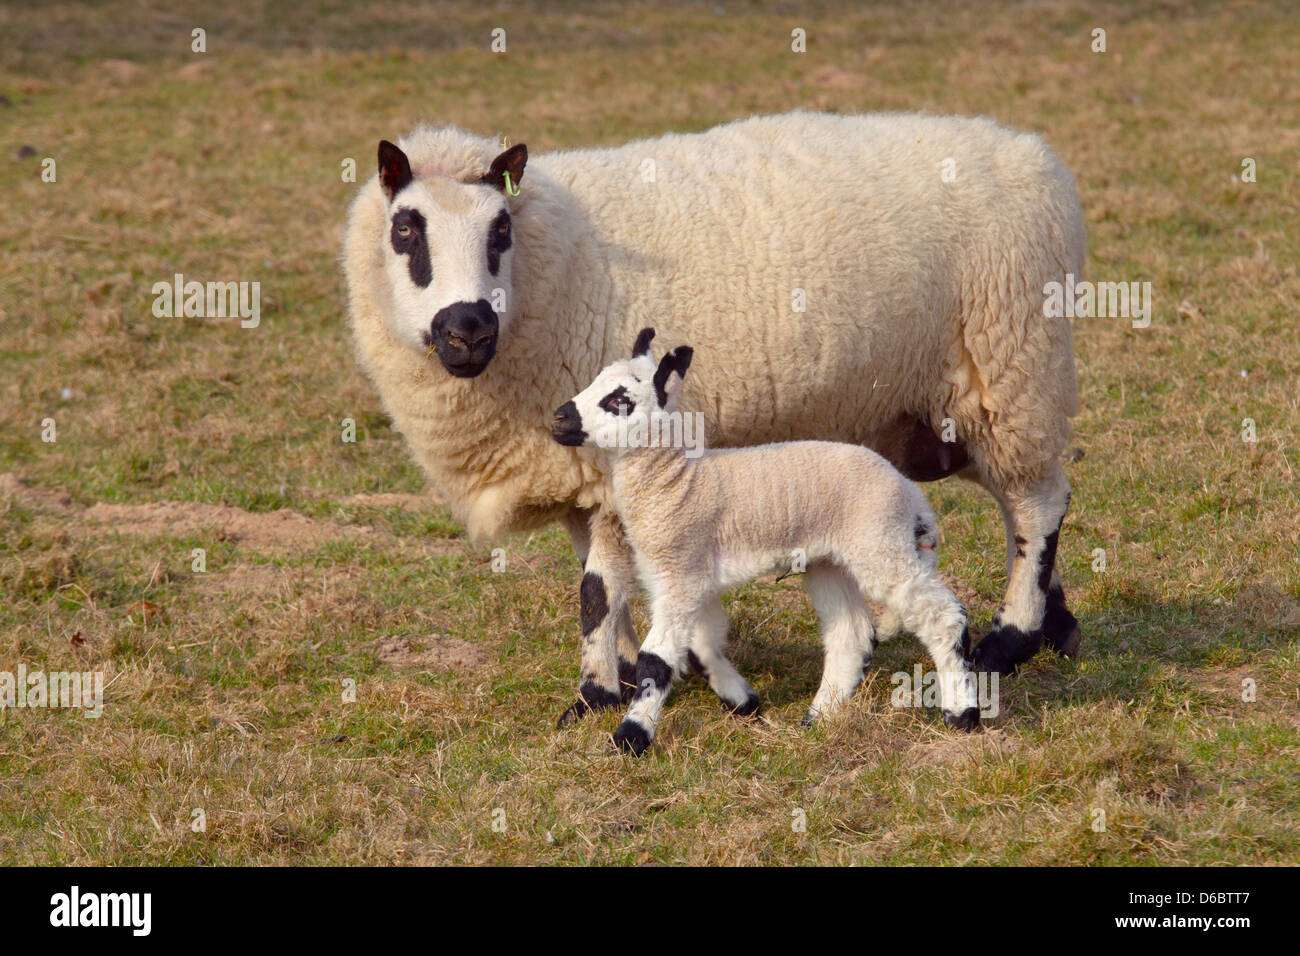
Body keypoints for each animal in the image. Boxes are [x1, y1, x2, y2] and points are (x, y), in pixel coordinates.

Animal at [552, 328, 980, 754]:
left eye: (618, 400)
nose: (558, 418)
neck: (677, 481)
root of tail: (910, 492)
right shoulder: (694, 575)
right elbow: (701, 645)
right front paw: (743, 701)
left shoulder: (680, 570)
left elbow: (656, 659)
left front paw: (629, 738)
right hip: (830, 559)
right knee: (851, 634)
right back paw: (818, 718)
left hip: (879, 540)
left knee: (942, 616)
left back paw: (961, 714)